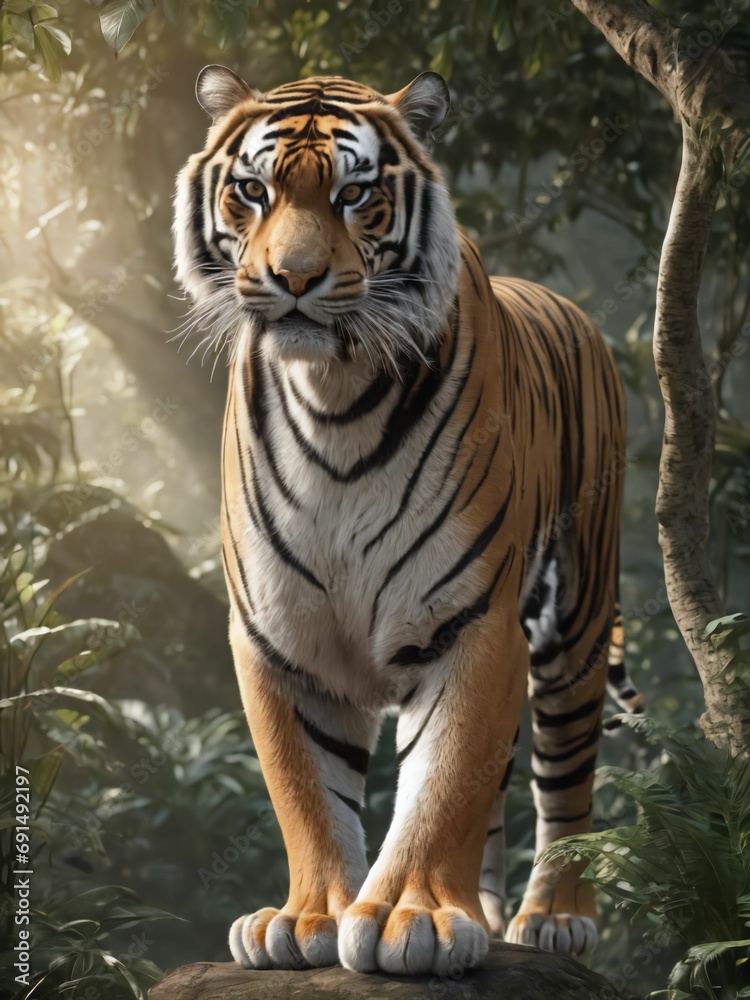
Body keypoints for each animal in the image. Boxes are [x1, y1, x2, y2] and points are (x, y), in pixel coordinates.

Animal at [173, 65, 639, 976]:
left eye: (355, 194)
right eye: (252, 190)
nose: (294, 278)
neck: (334, 397)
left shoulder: (471, 622)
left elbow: (442, 782)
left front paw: (409, 917)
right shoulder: (279, 636)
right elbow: (307, 789)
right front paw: (307, 919)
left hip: (574, 622)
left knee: (566, 773)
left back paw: (554, 918)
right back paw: (486, 911)